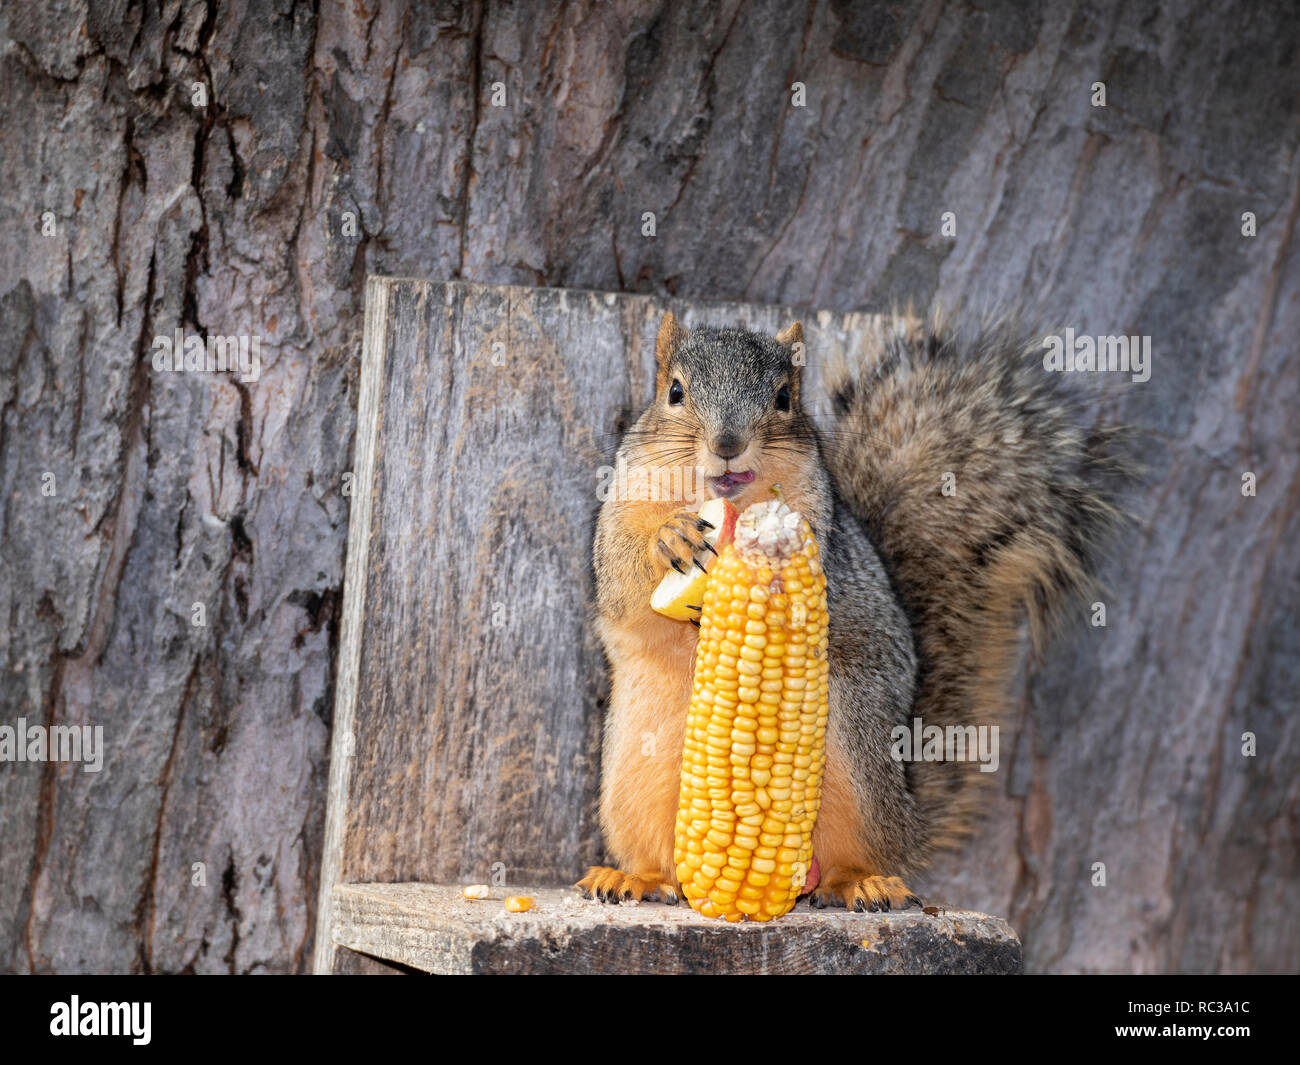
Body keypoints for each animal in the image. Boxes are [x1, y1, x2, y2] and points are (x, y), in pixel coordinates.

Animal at [577, 309, 1126, 911]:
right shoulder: (621, 508)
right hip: (631, 777)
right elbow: (620, 579)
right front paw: (670, 536)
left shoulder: (824, 538)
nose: (727, 443)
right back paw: (635, 878)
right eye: (674, 392)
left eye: (784, 398)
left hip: (856, 755)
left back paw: (861, 882)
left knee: (862, 850)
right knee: (661, 861)